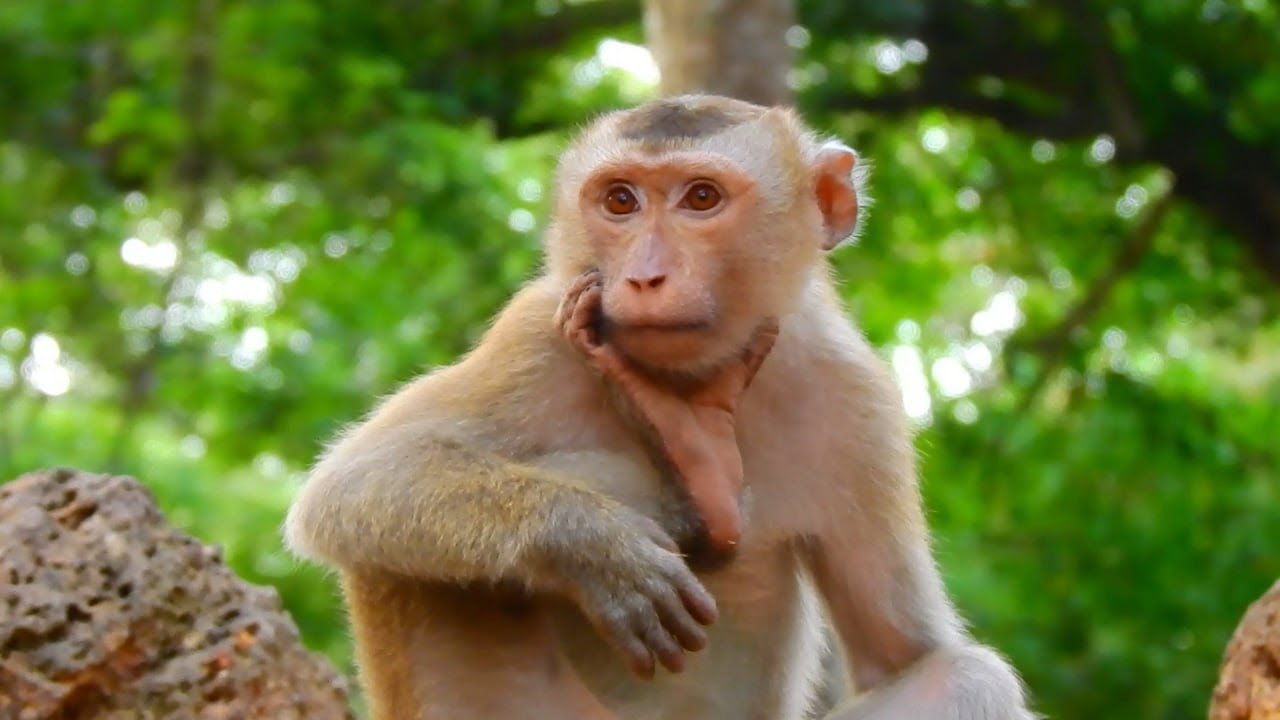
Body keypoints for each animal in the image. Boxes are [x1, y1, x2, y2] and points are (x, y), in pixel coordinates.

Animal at [284, 94, 1034, 720]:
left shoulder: (859, 400)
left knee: (969, 677)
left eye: (701, 198)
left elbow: (909, 656)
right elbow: (355, 480)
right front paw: (593, 547)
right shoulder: (532, 330)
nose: (644, 276)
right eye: (620, 201)